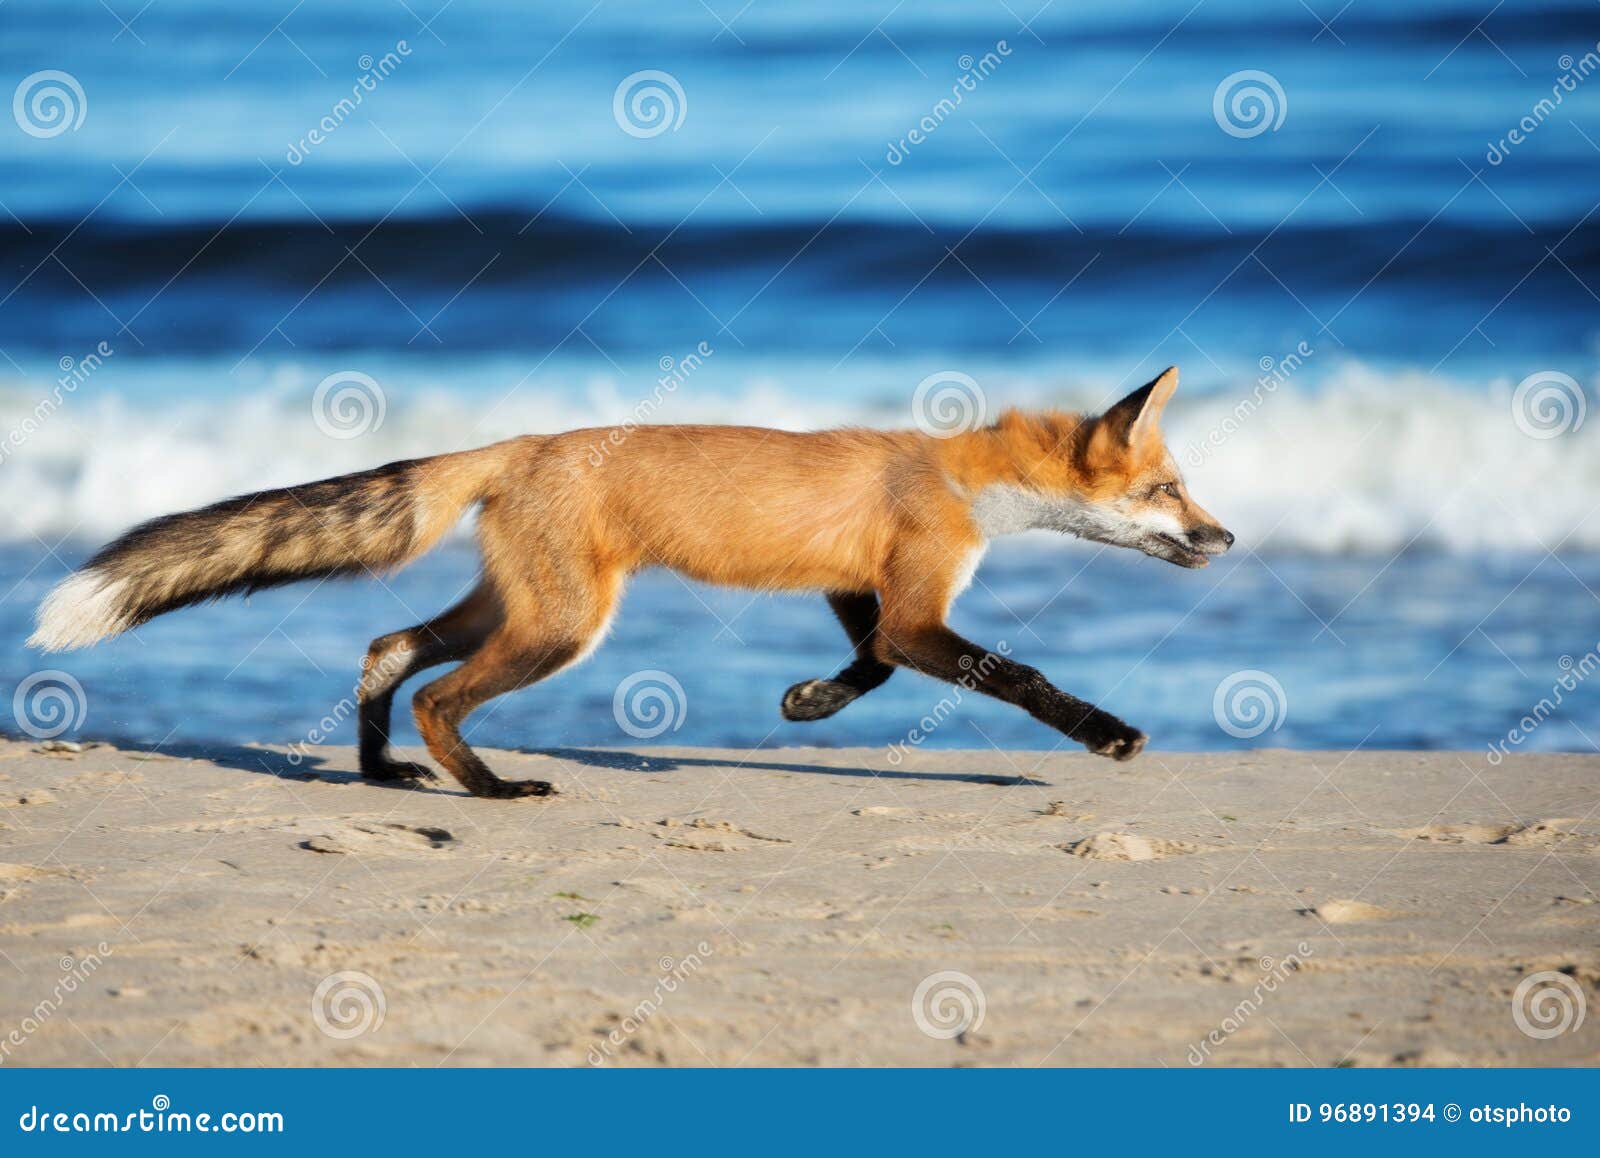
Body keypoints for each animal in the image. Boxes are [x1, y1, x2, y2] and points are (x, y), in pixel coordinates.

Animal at [29, 365, 1232, 800]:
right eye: (1169, 490)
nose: (1222, 537)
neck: (961, 476)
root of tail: (520, 441)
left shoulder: (866, 591)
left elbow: (870, 667)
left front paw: (808, 703)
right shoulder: (916, 603)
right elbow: (1012, 674)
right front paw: (1106, 734)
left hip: (515, 607)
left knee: (387, 651)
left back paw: (378, 774)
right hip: (562, 628)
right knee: (435, 693)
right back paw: (487, 789)